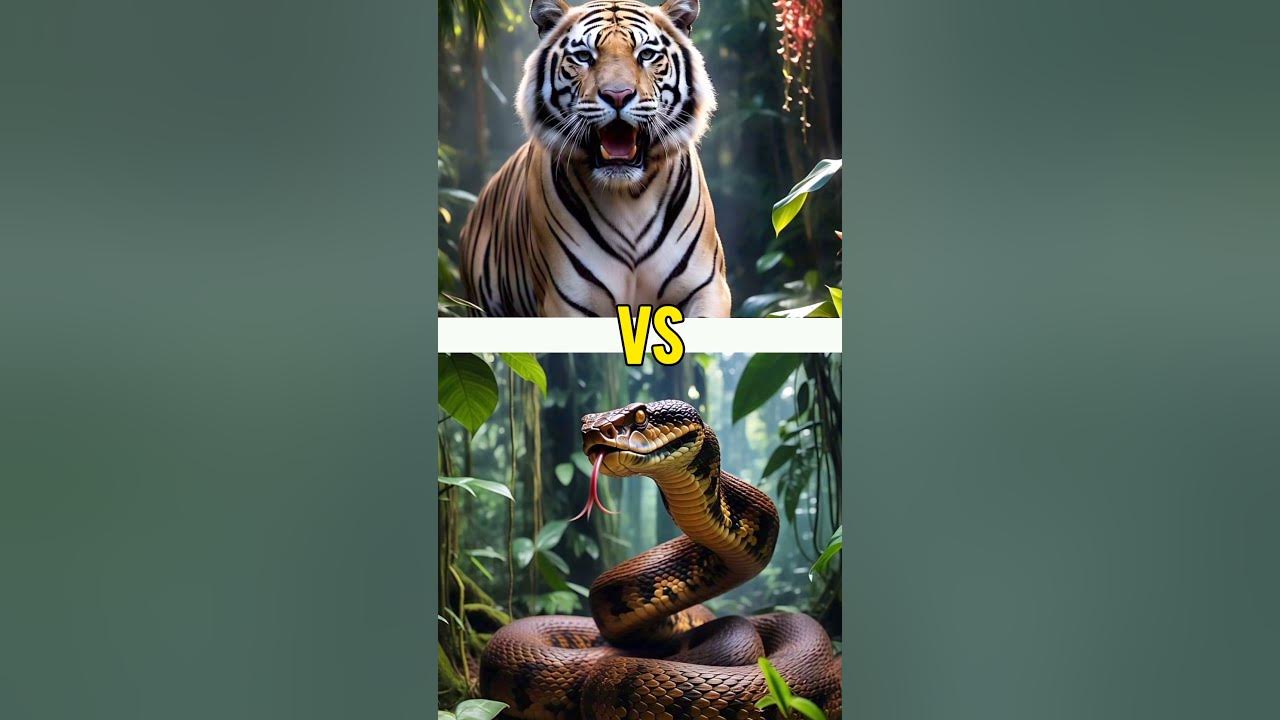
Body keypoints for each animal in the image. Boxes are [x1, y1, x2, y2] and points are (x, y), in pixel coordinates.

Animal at [458, 0, 731, 317]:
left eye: (646, 55)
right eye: (584, 57)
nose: (618, 95)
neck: (629, 198)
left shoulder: (707, 288)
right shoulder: (566, 301)